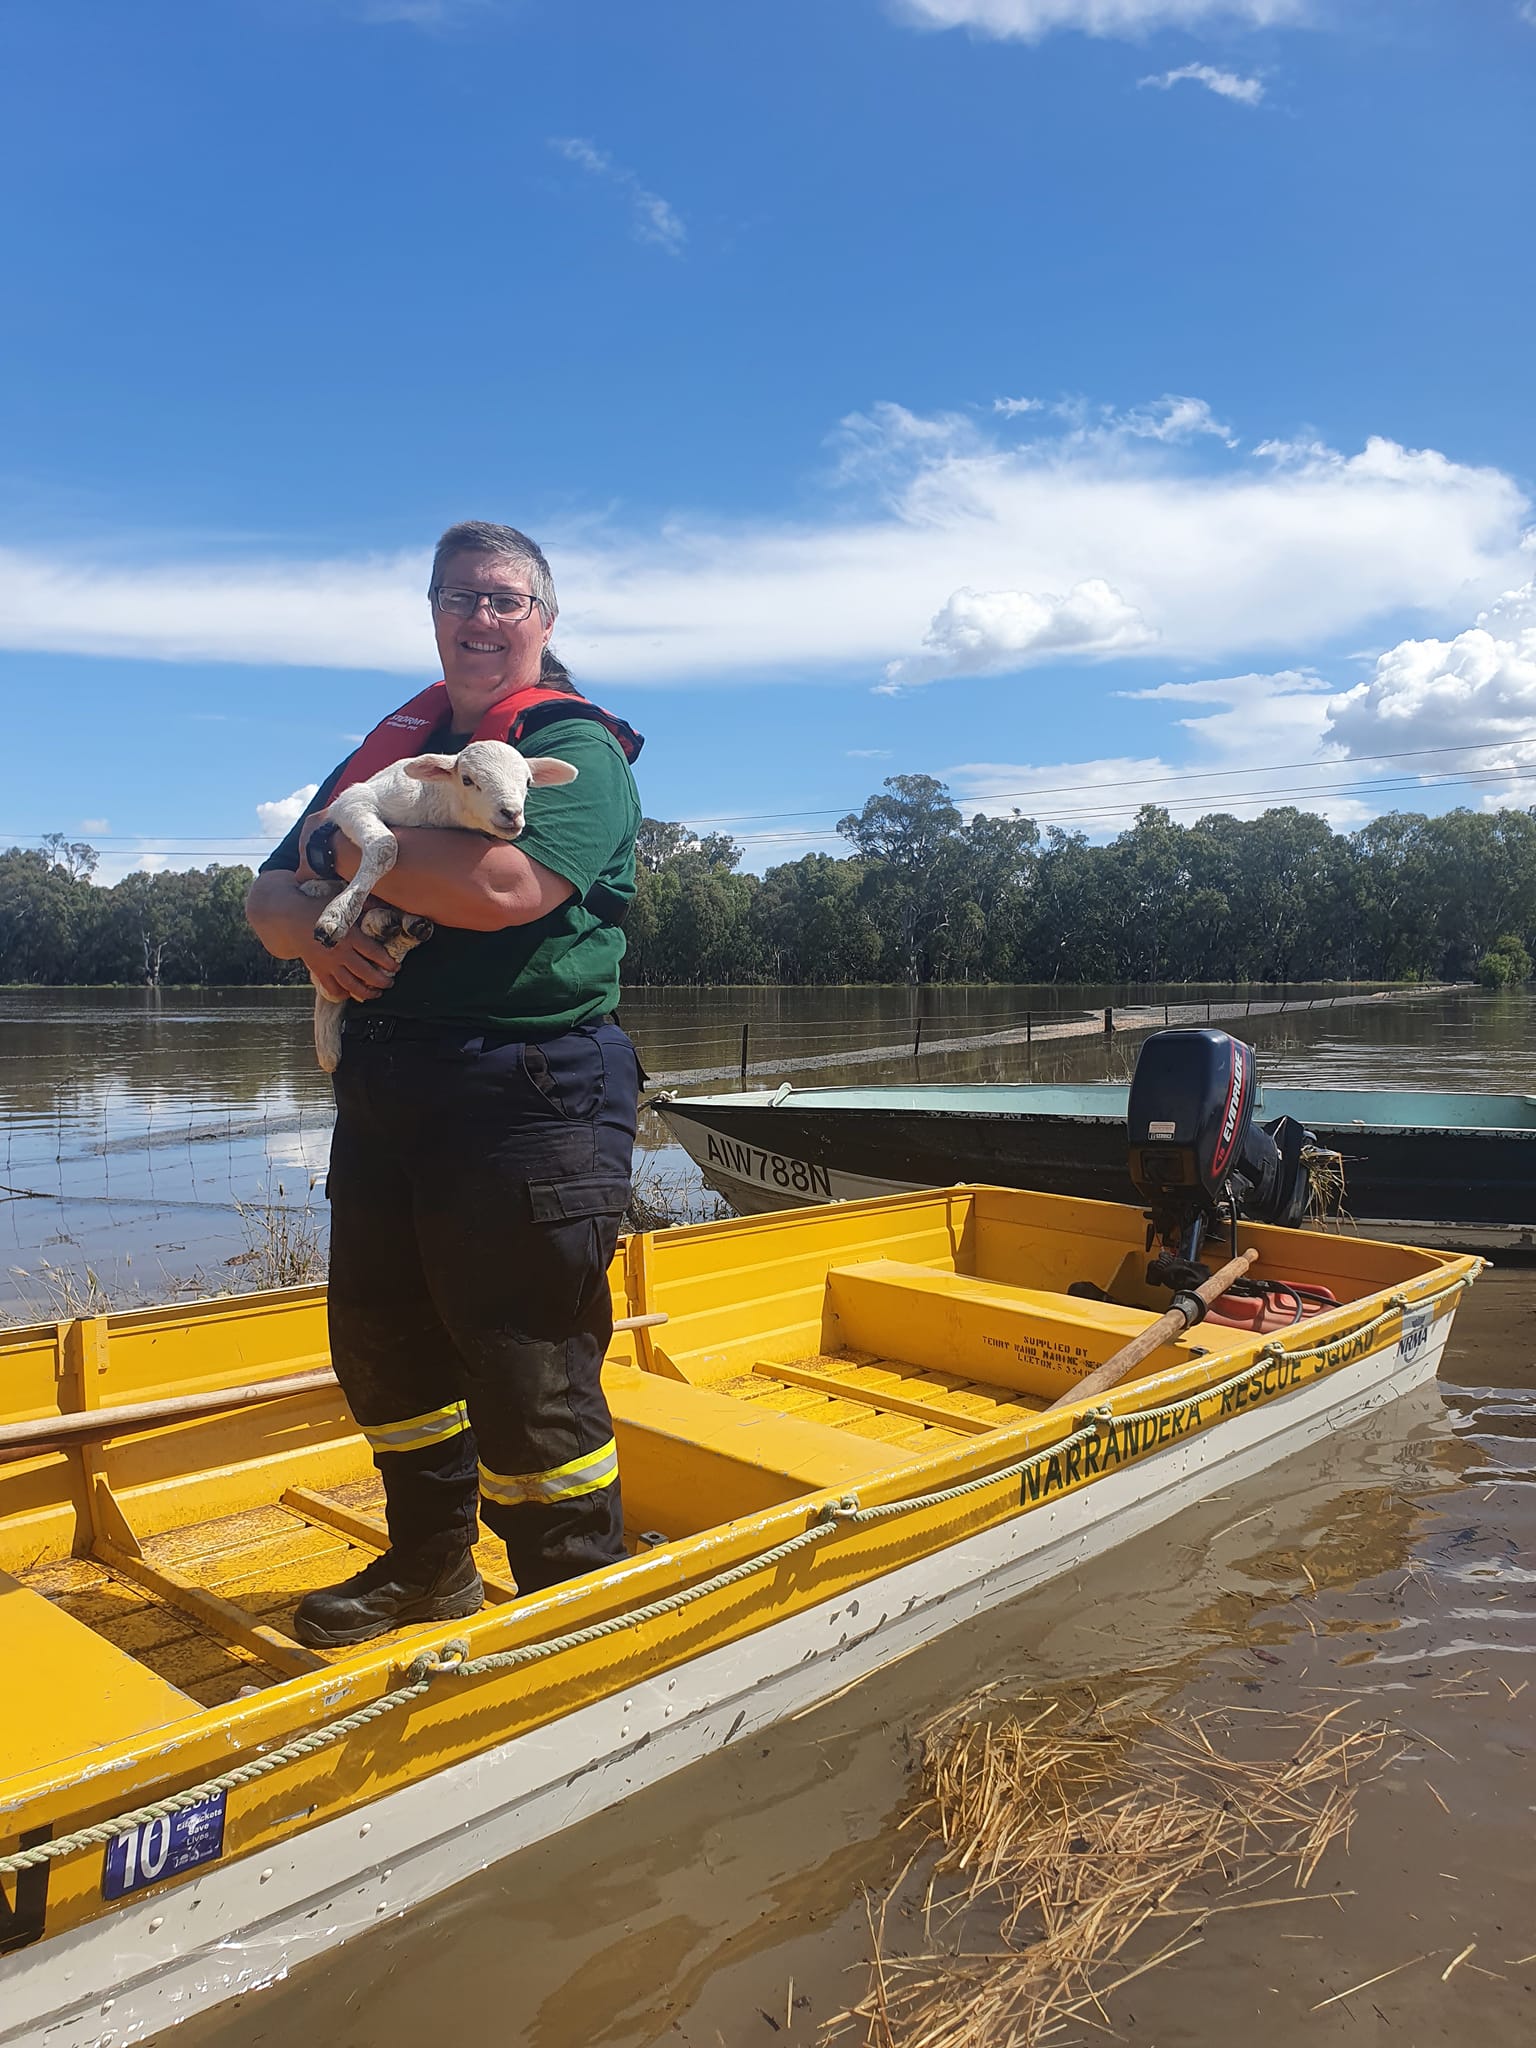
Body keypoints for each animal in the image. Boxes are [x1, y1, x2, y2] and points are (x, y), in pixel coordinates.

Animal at [303, 739, 579, 1072]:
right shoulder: (355, 800)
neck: (436, 810)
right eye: (468, 779)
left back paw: (393, 925)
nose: (512, 814)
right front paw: (337, 917)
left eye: (527, 782)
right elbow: (386, 846)